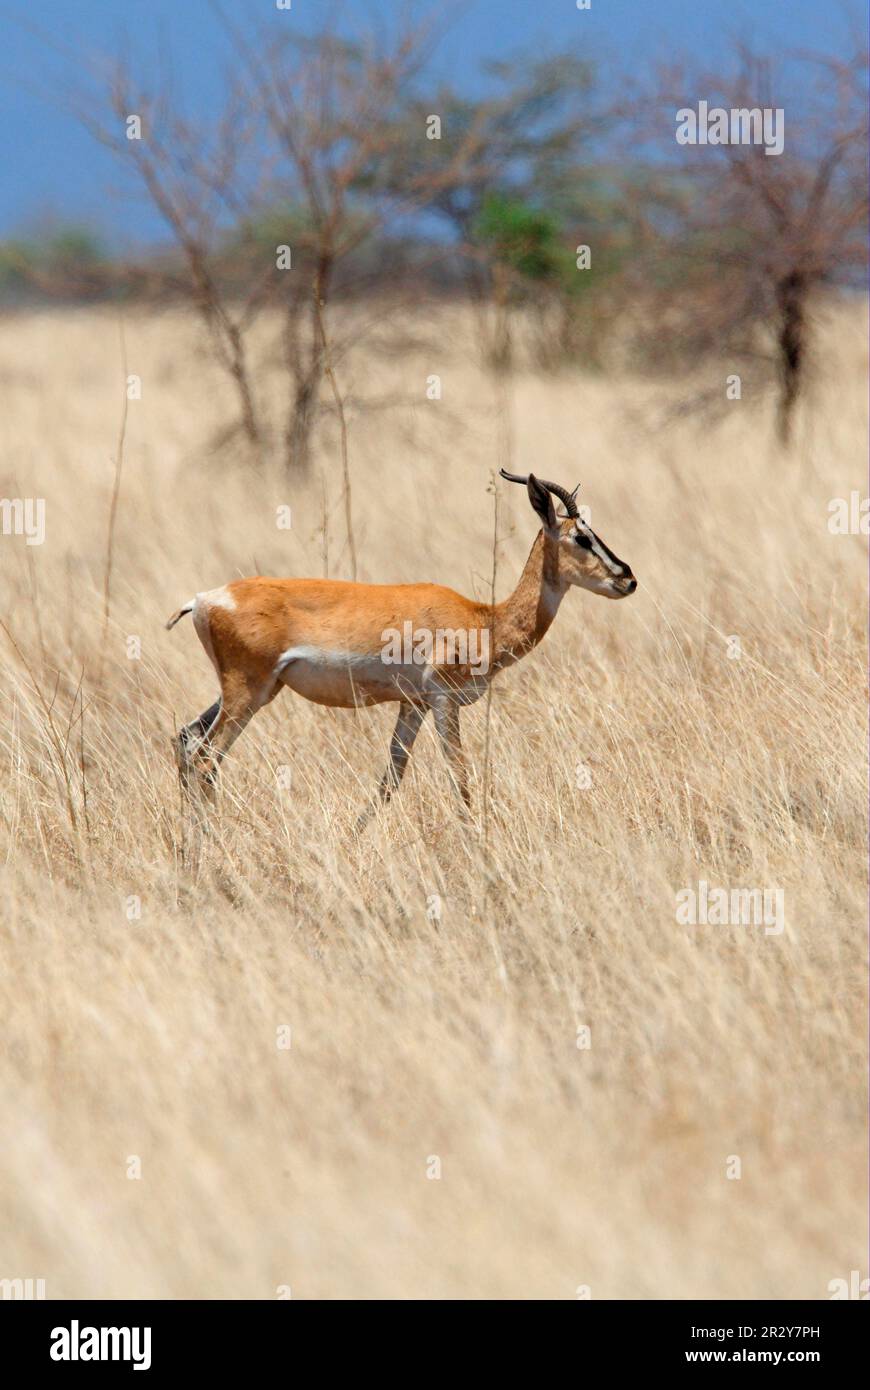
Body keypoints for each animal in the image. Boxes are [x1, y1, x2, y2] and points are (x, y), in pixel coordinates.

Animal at [166, 469, 636, 831]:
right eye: (581, 538)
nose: (628, 579)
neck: (484, 619)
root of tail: (204, 599)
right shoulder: (444, 701)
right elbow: (460, 776)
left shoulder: (413, 705)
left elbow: (392, 777)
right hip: (247, 695)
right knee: (206, 763)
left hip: (252, 693)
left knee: (186, 742)